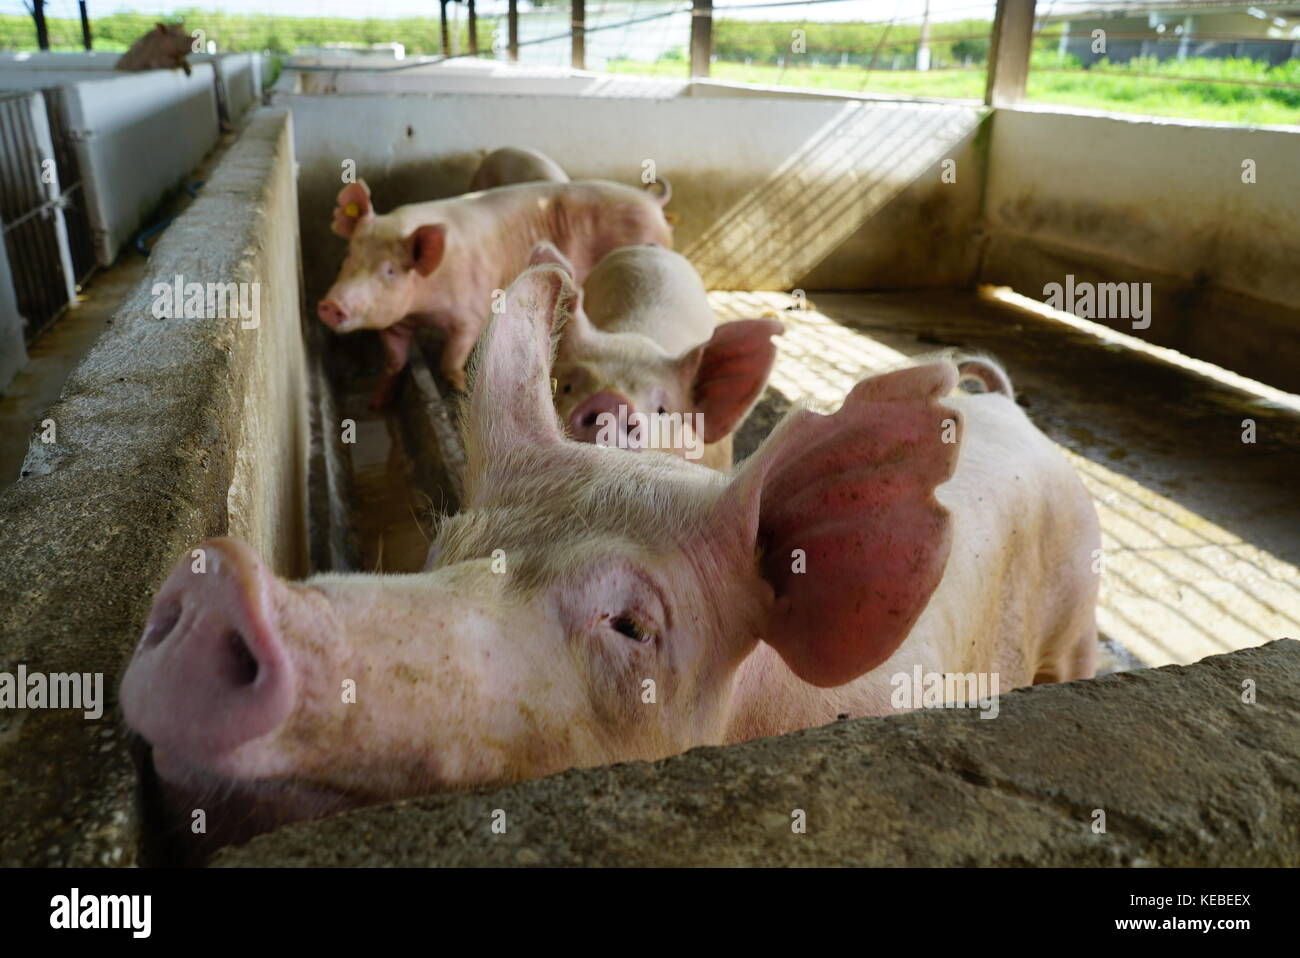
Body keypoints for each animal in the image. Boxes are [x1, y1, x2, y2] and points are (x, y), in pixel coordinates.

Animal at [318, 178, 673, 407]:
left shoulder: (469, 315)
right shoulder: (395, 323)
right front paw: (376, 404)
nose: (331, 304)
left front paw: (461, 386)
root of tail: (651, 201)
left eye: (389, 270)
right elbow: (394, 361)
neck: (423, 309)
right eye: (348, 256)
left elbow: (450, 358)